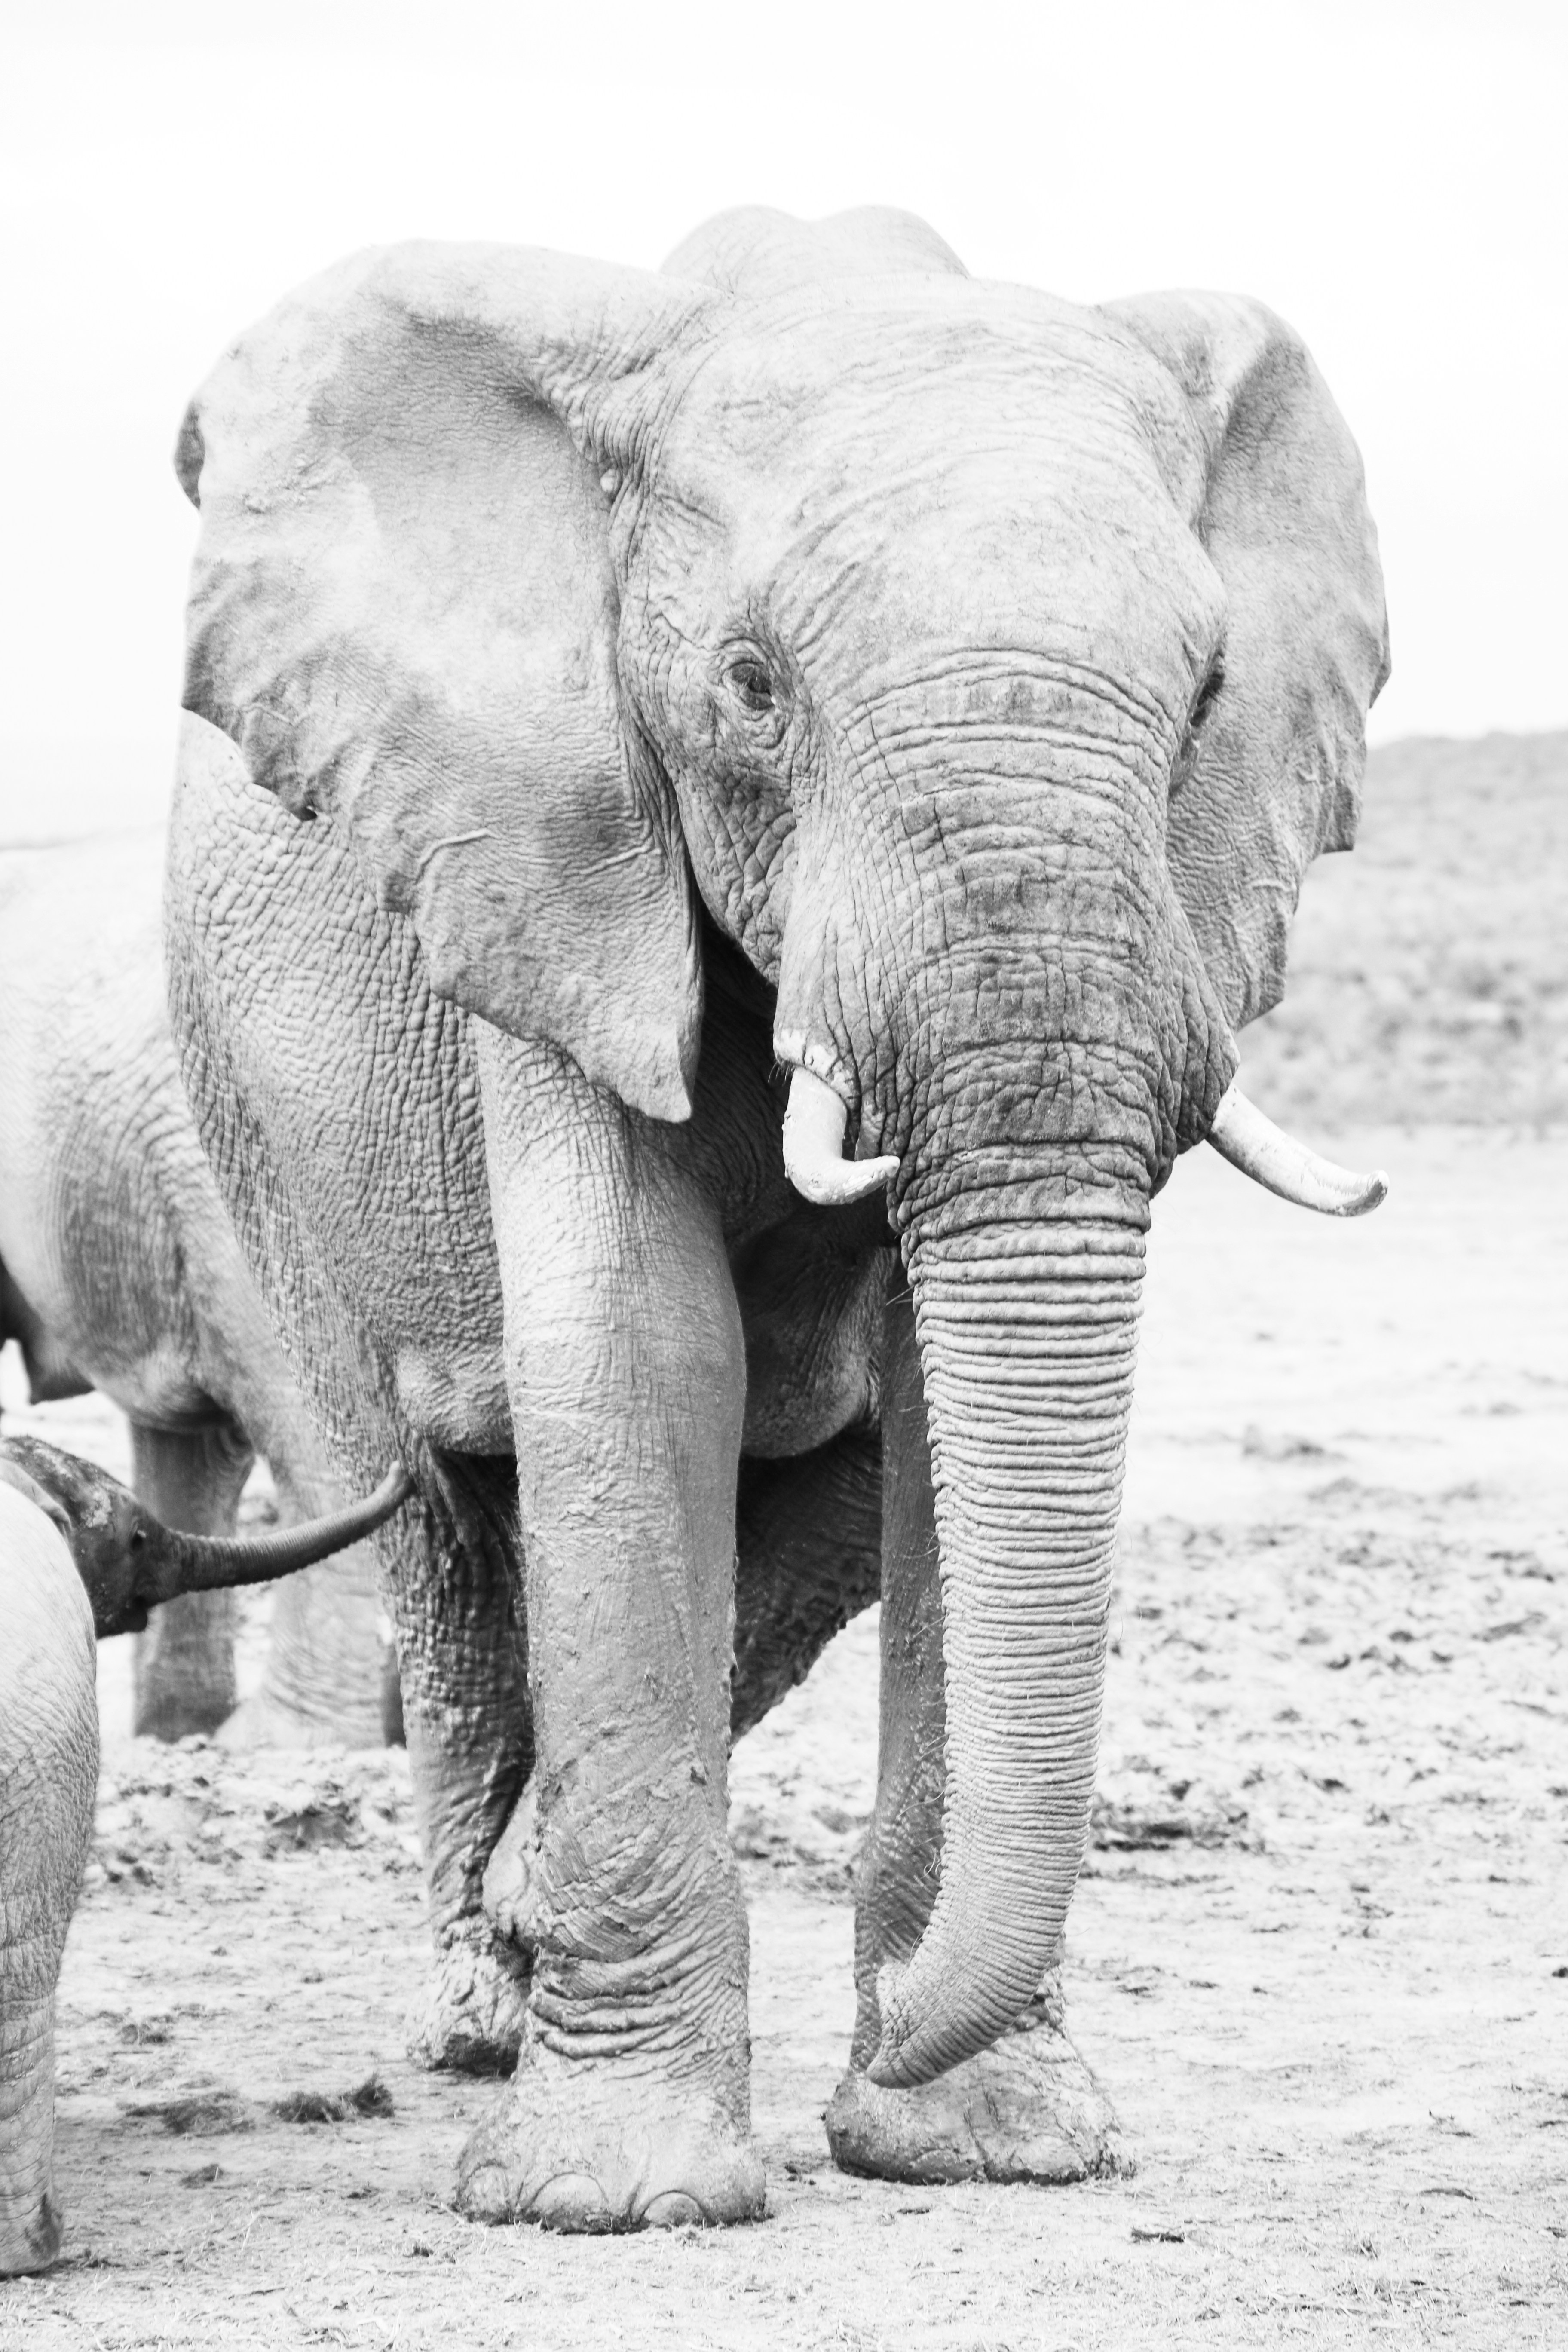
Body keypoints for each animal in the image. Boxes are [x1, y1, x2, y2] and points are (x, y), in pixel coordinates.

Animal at [164, 205, 1388, 2228]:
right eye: (750, 687)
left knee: (814, 1517)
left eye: (1208, 696)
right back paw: (480, 2005)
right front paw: (610, 2197)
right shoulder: (553, 859)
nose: (887, 2049)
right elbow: (639, 1354)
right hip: (253, 1145)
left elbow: (931, 1423)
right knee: (429, 1531)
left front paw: (978, 2141)